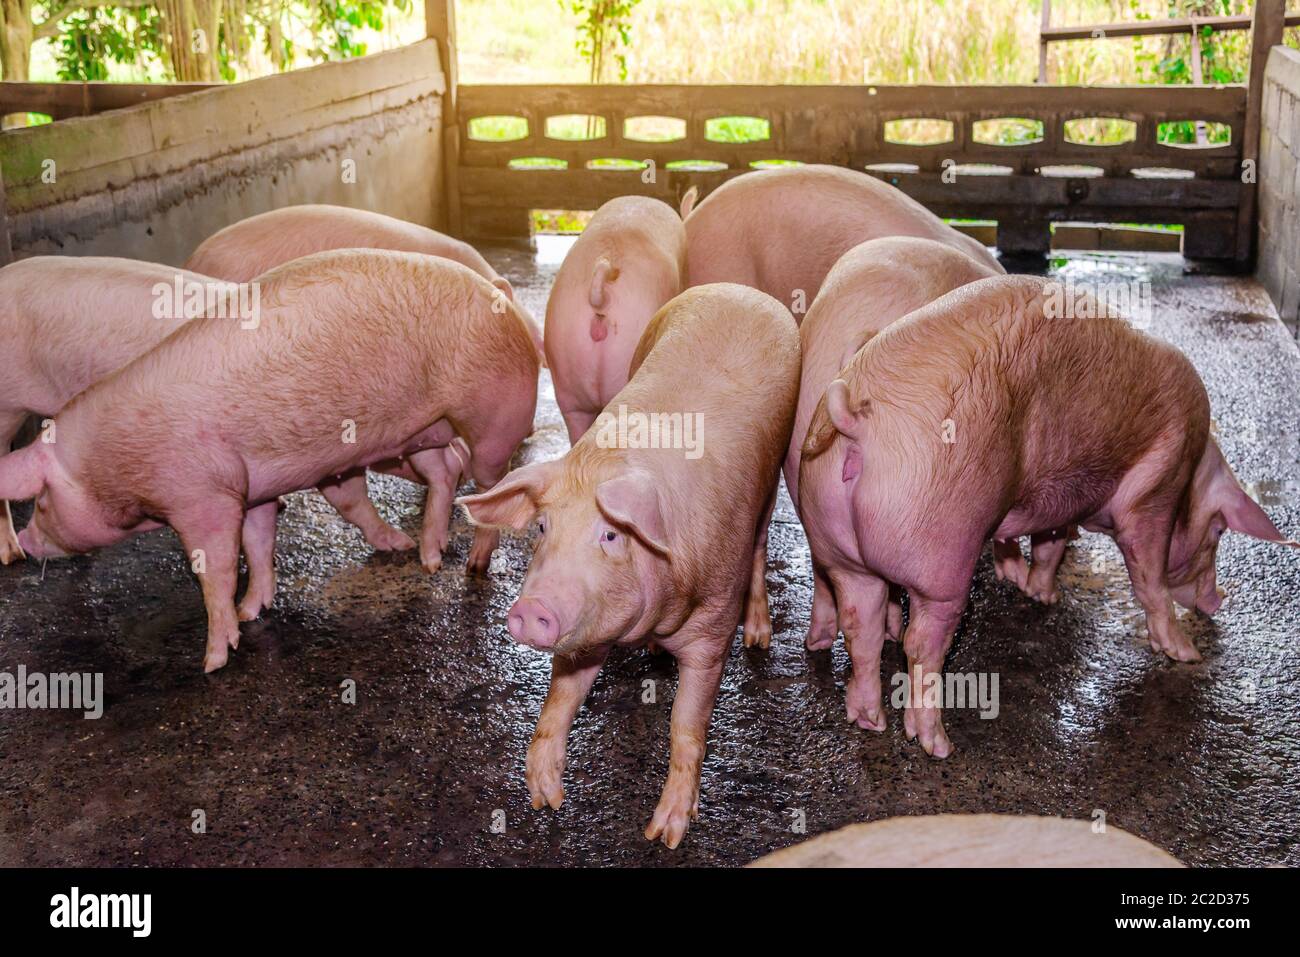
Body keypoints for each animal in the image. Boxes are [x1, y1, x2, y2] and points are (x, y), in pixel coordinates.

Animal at [458, 283, 800, 848]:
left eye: (611, 534)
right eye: (543, 527)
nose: (530, 609)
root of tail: (737, 289)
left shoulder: (712, 627)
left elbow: (687, 725)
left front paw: (664, 835)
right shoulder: (589, 623)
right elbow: (563, 693)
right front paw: (546, 797)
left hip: (773, 474)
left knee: (759, 543)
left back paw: (758, 638)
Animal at [798, 274, 1298, 758]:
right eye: (1218, 531)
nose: (1219, 599)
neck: (1192, 473)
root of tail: (855, 417)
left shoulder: (1058, 501)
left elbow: (1051, 544)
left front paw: (1043, 595)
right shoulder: (1155, 494)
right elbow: (1149, 578)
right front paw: (1185, 654)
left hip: (836, 546)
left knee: (859, 627)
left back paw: (868, 720)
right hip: (941, 550)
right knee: (920, 643)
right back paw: (937, 744)